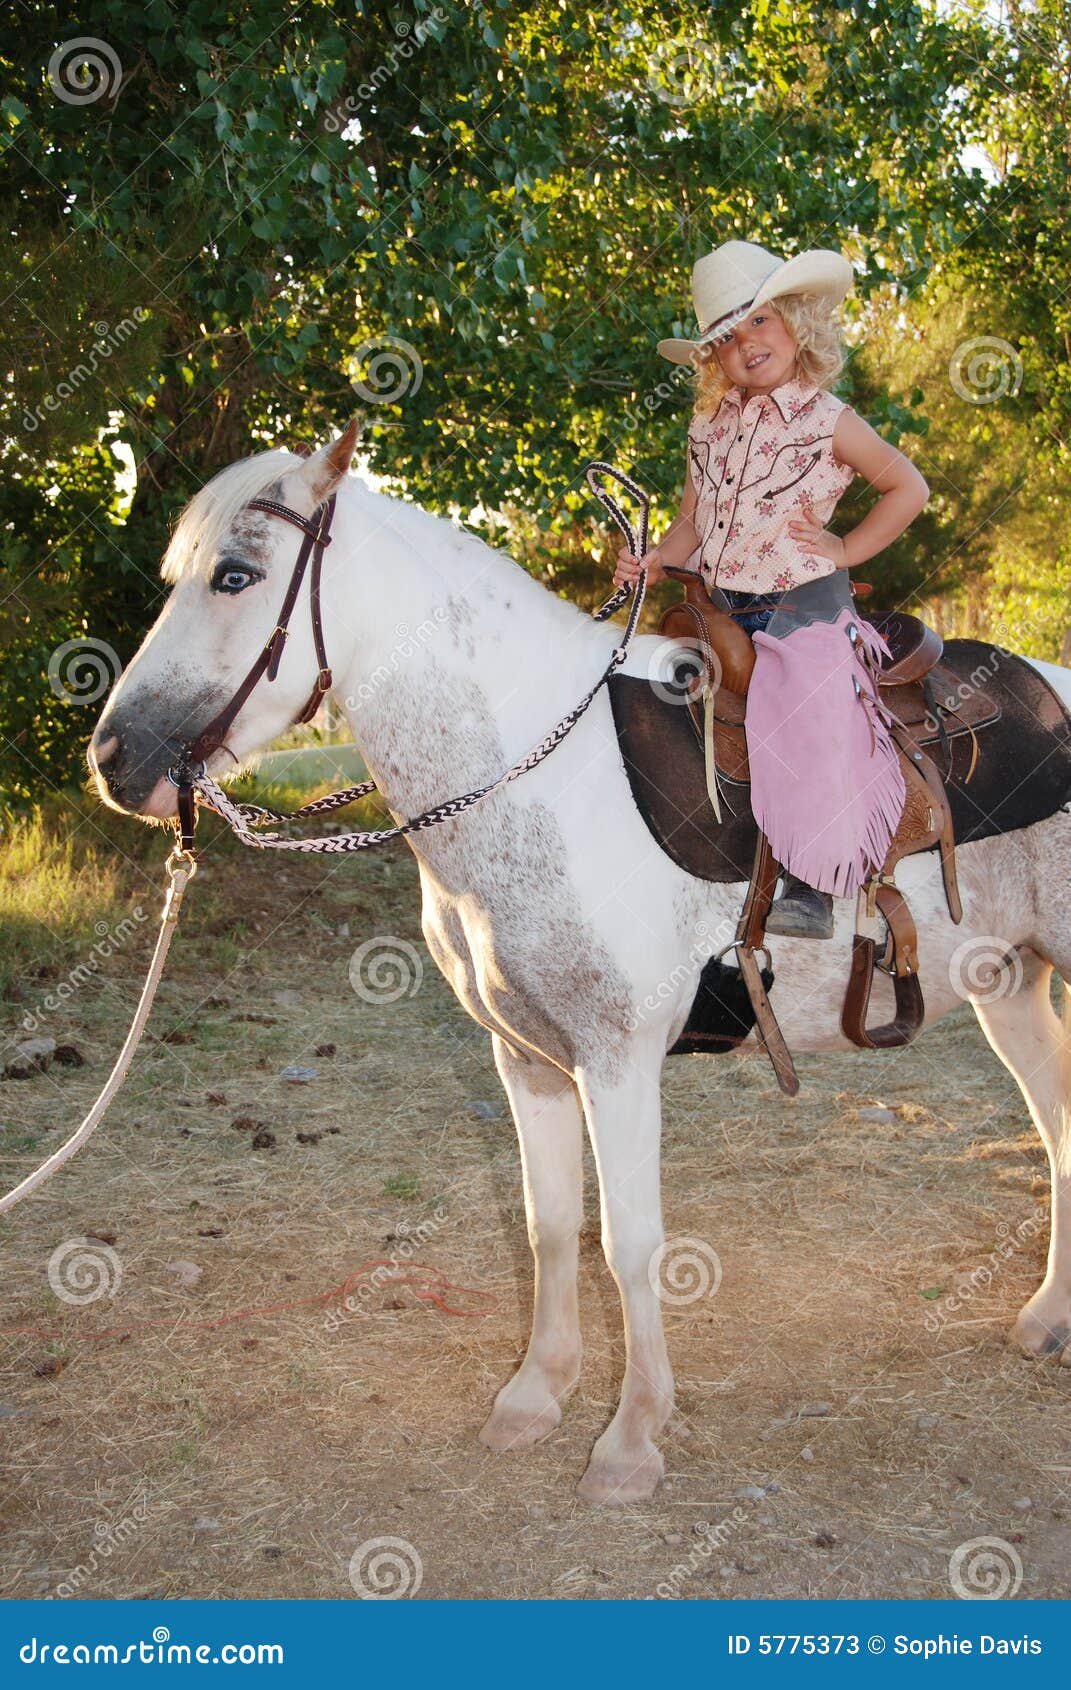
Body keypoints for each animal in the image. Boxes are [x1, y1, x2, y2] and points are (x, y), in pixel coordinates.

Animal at [89, 422, 1071, 1504]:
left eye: (235, 574)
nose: (115, 758)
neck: (535, 775)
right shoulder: (526, 1057)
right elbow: (548, 1225)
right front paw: (535, 1393)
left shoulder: (618, 1060)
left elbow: (628, 1243)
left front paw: (632, 1437)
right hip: (1008, 982)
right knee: (1059, 1125)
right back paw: (1045, 1318)